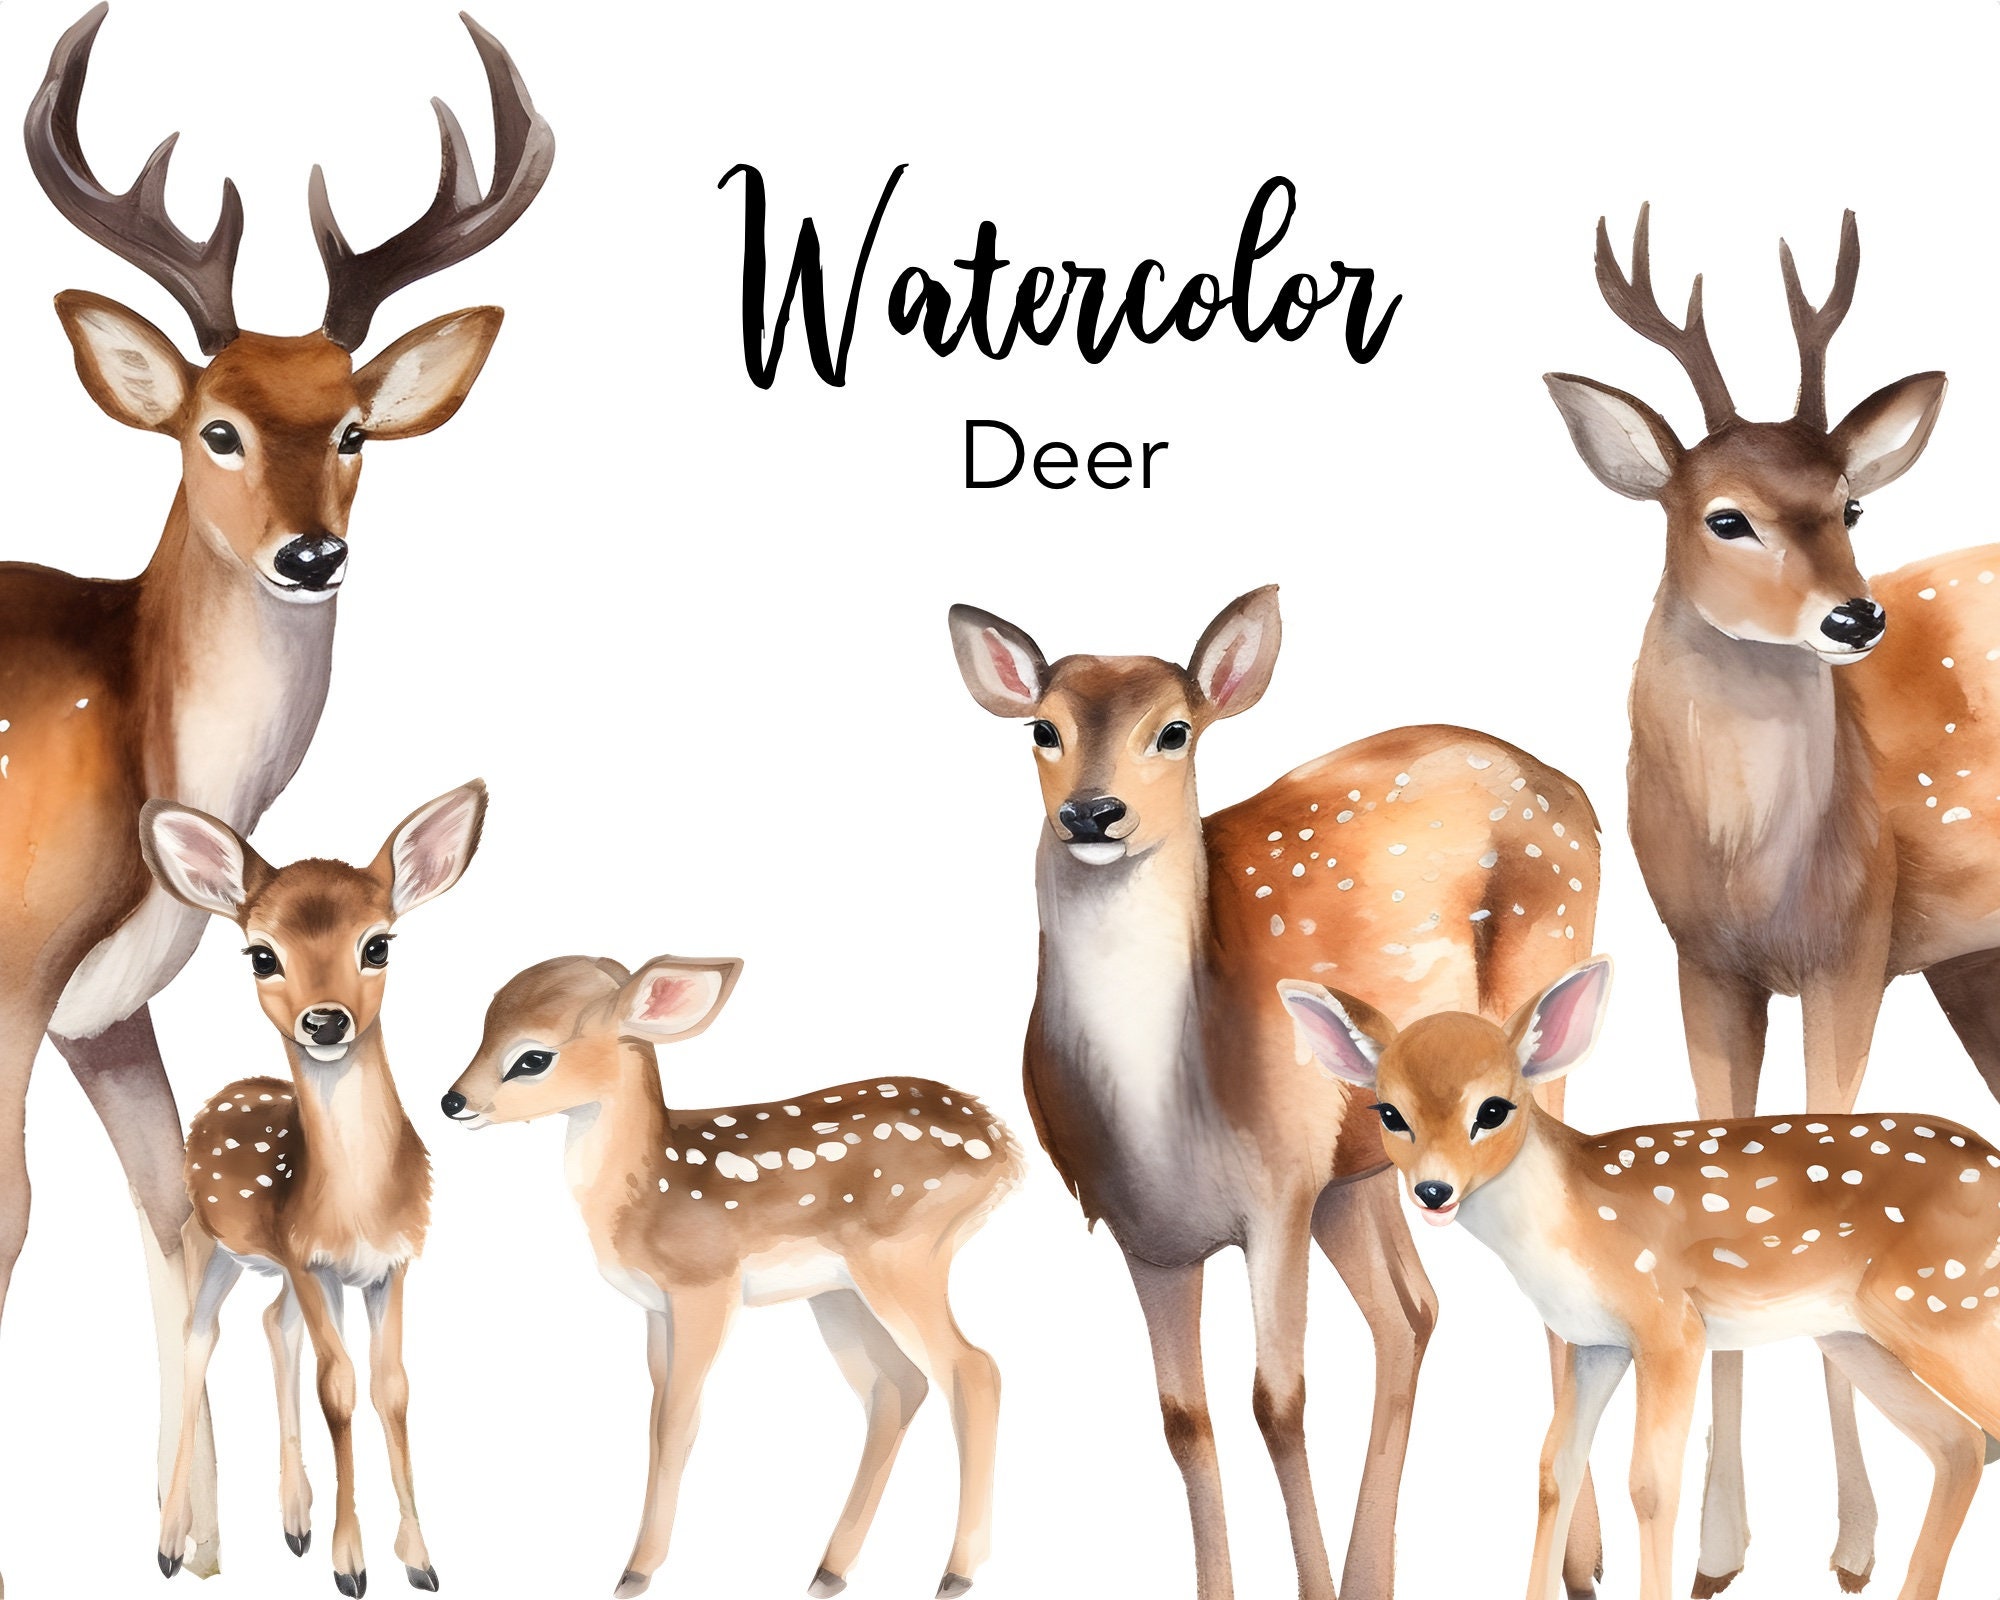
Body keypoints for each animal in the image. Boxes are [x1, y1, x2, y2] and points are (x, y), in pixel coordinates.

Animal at [139, 780, 487, 1596]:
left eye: (378, 944)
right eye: (261, 954)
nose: (325, 1020)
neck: (357, 1206)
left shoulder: (391, 1265)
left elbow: (391, 1387)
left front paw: (419, 1560)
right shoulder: (310, 1259)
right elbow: (341, 1388)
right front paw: (350, 1564)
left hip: (277, 1269)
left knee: (273, 1324)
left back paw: (293, 1521)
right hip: (212, 1243)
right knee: (199, 1335)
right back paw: (169, 1544)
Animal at [440, 955, 1024, 1600]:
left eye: (532, 1058)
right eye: (484, 1028)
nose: (452, 1101)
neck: (642, 1194)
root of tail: (1005, 1147)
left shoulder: (704, 1285)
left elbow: (675, 1421)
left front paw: (635, 1572)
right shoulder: (657, 1308)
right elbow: (664, 1415)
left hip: (905, 1253)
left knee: (973, 1369)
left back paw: (956, 1572)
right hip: (839, 1292)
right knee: (896, 1387)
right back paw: (829, 1571)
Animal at [948, 588, 1608, 1600]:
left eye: (1174, 729)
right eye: (1043, 727)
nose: (1093, 813)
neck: (1164, 1121)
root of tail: (1575, 791)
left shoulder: (1278, 1190)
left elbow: (1279, 1401)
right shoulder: (1147, 1233)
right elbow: (1186, 1421)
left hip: (1529, 1027)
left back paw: (1584, 1561)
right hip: (1364, 1161)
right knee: (1410, 1311)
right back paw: (1379, 1574)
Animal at [1282, 955, 2000, 1600]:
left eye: (1492, 1109)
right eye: (1389, 1113)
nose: (1433, 1191)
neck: (1568, 1219)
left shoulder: (1669, 1324)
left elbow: (1651, 1484)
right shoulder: (1594, 1342)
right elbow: (1555, 1469)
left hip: (1945, 1305)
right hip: (1855, 1336)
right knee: (1960, 1444)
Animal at [1543, 205, 1989, 1593]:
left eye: (1849, 500)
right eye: (1724, 517)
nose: (1852, 616)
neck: (1759, 871)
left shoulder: (1852, 949)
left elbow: (1822, 1138)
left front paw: (1845, 1539)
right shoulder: (1706, 963)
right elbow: (1728, 1144)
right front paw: (1721, 1543)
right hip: (1974, 964)